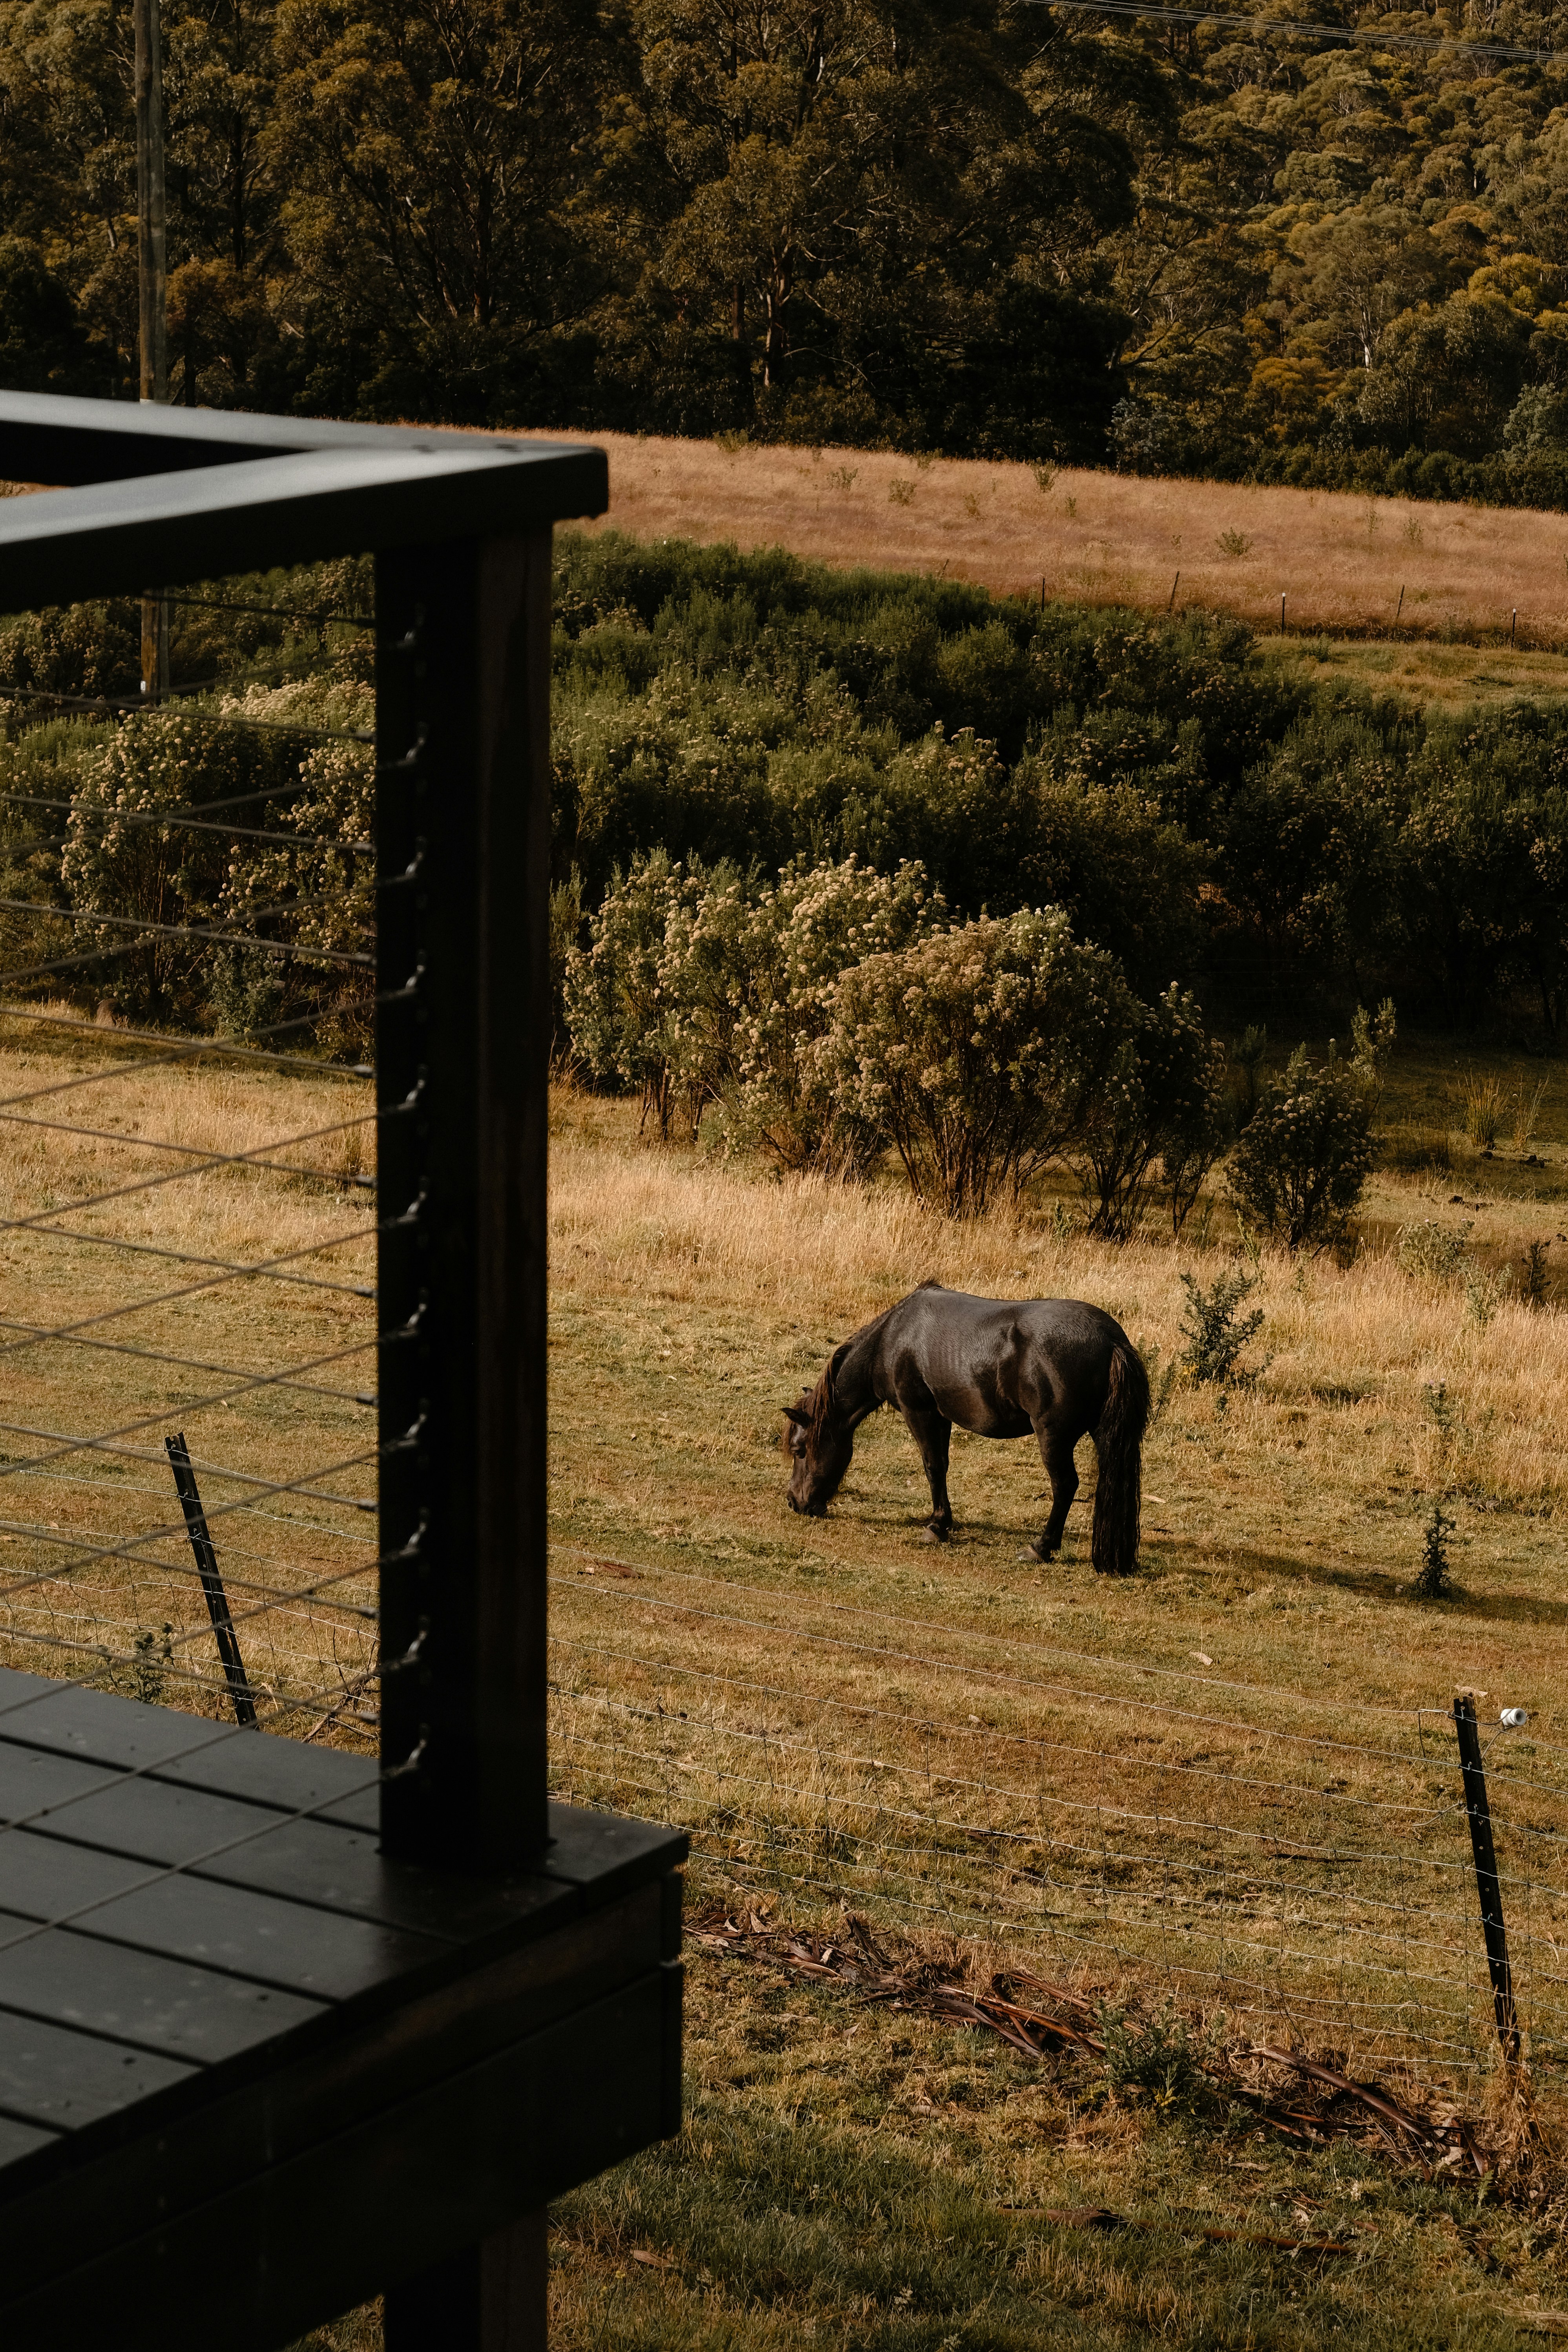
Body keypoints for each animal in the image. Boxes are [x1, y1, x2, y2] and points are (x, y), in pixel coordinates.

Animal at [781, 1282, 1149, 1574]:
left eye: (800, 1450)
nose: (794, 1502)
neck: (894, 1337)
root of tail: (1110, 1340)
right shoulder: (941, 1416)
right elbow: (941, 1466)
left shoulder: (921, 1412)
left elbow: (933, 1467)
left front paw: (937, 1525)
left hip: (1053, 1436)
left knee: (1065, 1486)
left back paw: (1040, 1547)